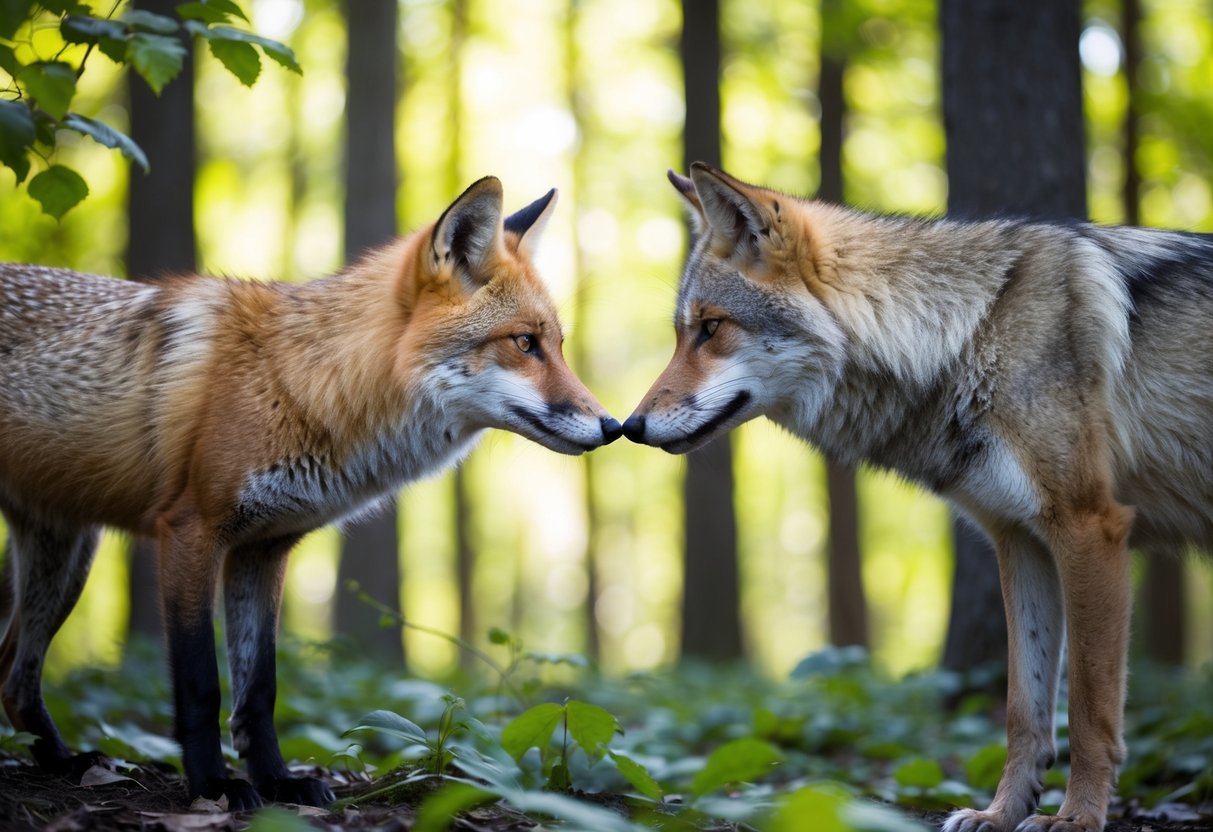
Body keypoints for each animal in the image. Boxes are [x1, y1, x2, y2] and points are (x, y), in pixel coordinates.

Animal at [0, 176, 621, 809]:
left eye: (559, 345)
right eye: (524, 343)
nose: (615, 426)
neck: (302, 386)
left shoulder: (262, 549)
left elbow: (259, 689)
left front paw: (278, 782)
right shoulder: (191, 532)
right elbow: (202, 684)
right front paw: (214, 786)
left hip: (65, 560)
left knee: (13, 680)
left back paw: (63, 761)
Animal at [623, 162, 1213, 832]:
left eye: (711, 328)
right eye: (681, 334)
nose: (629, 426)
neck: (967, 333)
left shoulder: (1091, 528)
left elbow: (1090, 709)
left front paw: (1077, 819)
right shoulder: (1022, 542)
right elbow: (1024, 711)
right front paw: (999, 814)